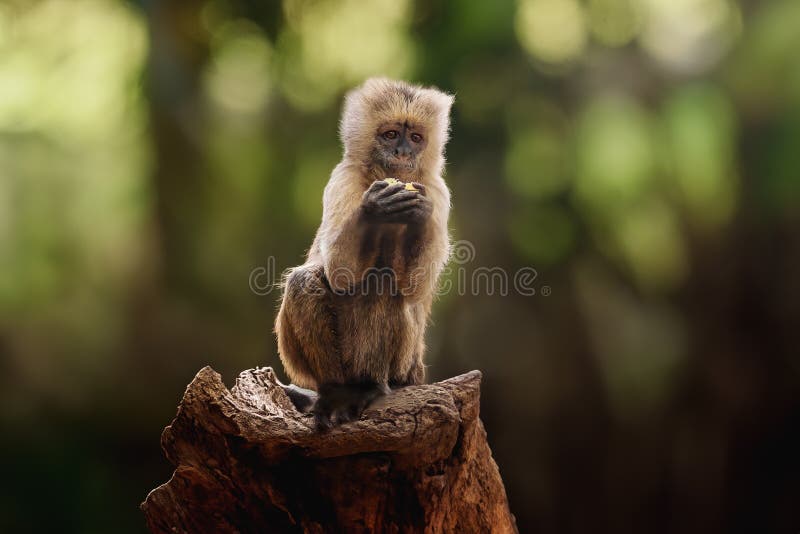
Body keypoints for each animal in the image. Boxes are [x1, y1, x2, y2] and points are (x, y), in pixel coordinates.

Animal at [274, 78, 453, 429]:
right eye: (391, 135)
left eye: (415, 138)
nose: (403, 152)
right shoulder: (343, 177)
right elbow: (339, 272)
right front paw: (375, 208)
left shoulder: (438, 192)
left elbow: (415, 289)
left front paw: (418, 214)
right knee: (308, 281)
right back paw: (338, 392)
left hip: (404, 363)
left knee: (381, 281)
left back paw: (366, 386)